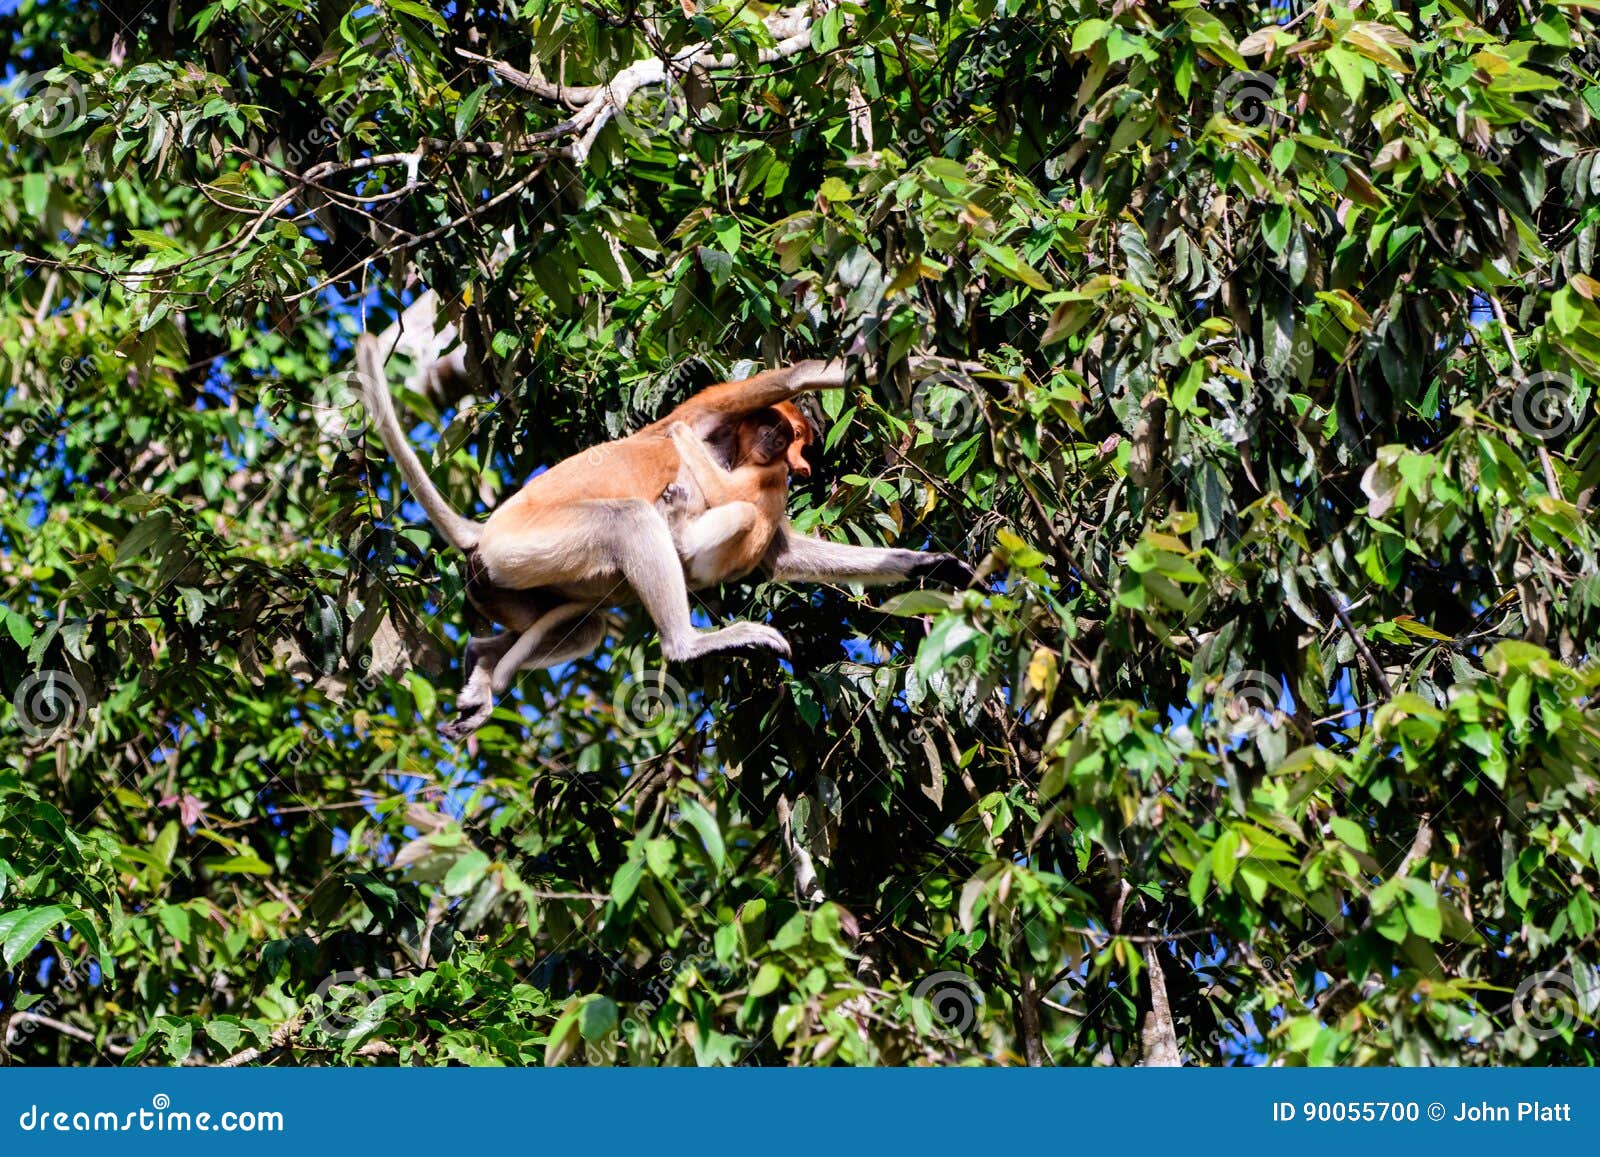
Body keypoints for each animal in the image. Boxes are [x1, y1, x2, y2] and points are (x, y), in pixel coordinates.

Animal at [354, 335, 975, 738]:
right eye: (787, 436)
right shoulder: (707, 413)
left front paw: (933, 565)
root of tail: (484, 532)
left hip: (504, 583)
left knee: (584, 626)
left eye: (802, 443)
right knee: (628, 521)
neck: (732, 446)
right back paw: (688, 642)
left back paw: (482, 670)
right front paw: (937, 365)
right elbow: (789, 378)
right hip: (524, 546)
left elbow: (779, 555)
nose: (799, 465)